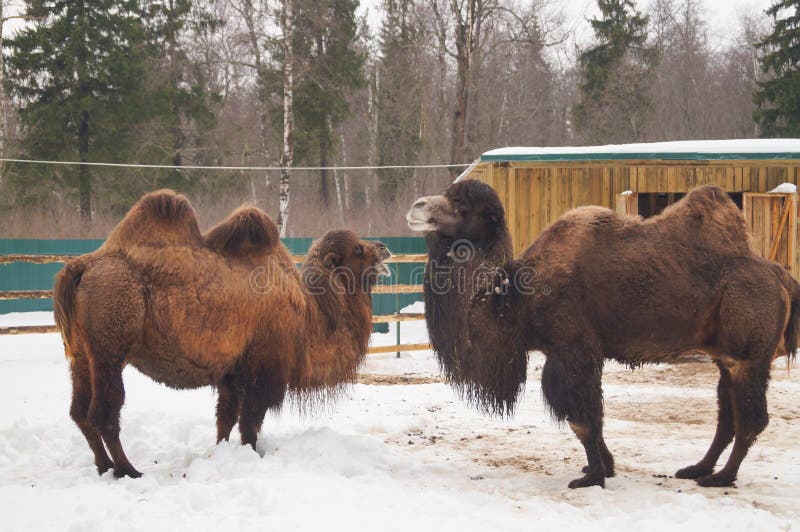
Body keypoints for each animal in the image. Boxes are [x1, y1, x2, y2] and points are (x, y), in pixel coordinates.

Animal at [54, 190, 390, 478]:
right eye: (357, 249)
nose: (383, 247)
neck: (311, 317)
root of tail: (80, 268)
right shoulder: (264, 371)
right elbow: (249, 423)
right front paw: (250, 455)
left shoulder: (233, 371)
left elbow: (225, 418)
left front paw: (220, 454)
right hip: (111, 350)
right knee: (104, 412)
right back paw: (128, 470)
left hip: (81, 354)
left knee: (79, 411)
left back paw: (104, 466)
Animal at [407, 179, 799, 489]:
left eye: (461, 206)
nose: (416, 206)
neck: (516, 297)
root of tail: (780, 275)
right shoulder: (563, 354)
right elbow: (583, 415)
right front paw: (604, 467)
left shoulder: (574, 350)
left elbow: (582, 419)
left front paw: (592, 477)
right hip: (723, 358)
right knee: (726, 418)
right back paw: (697, 468)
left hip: (748, 356)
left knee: (750, 419)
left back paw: (721, 478)